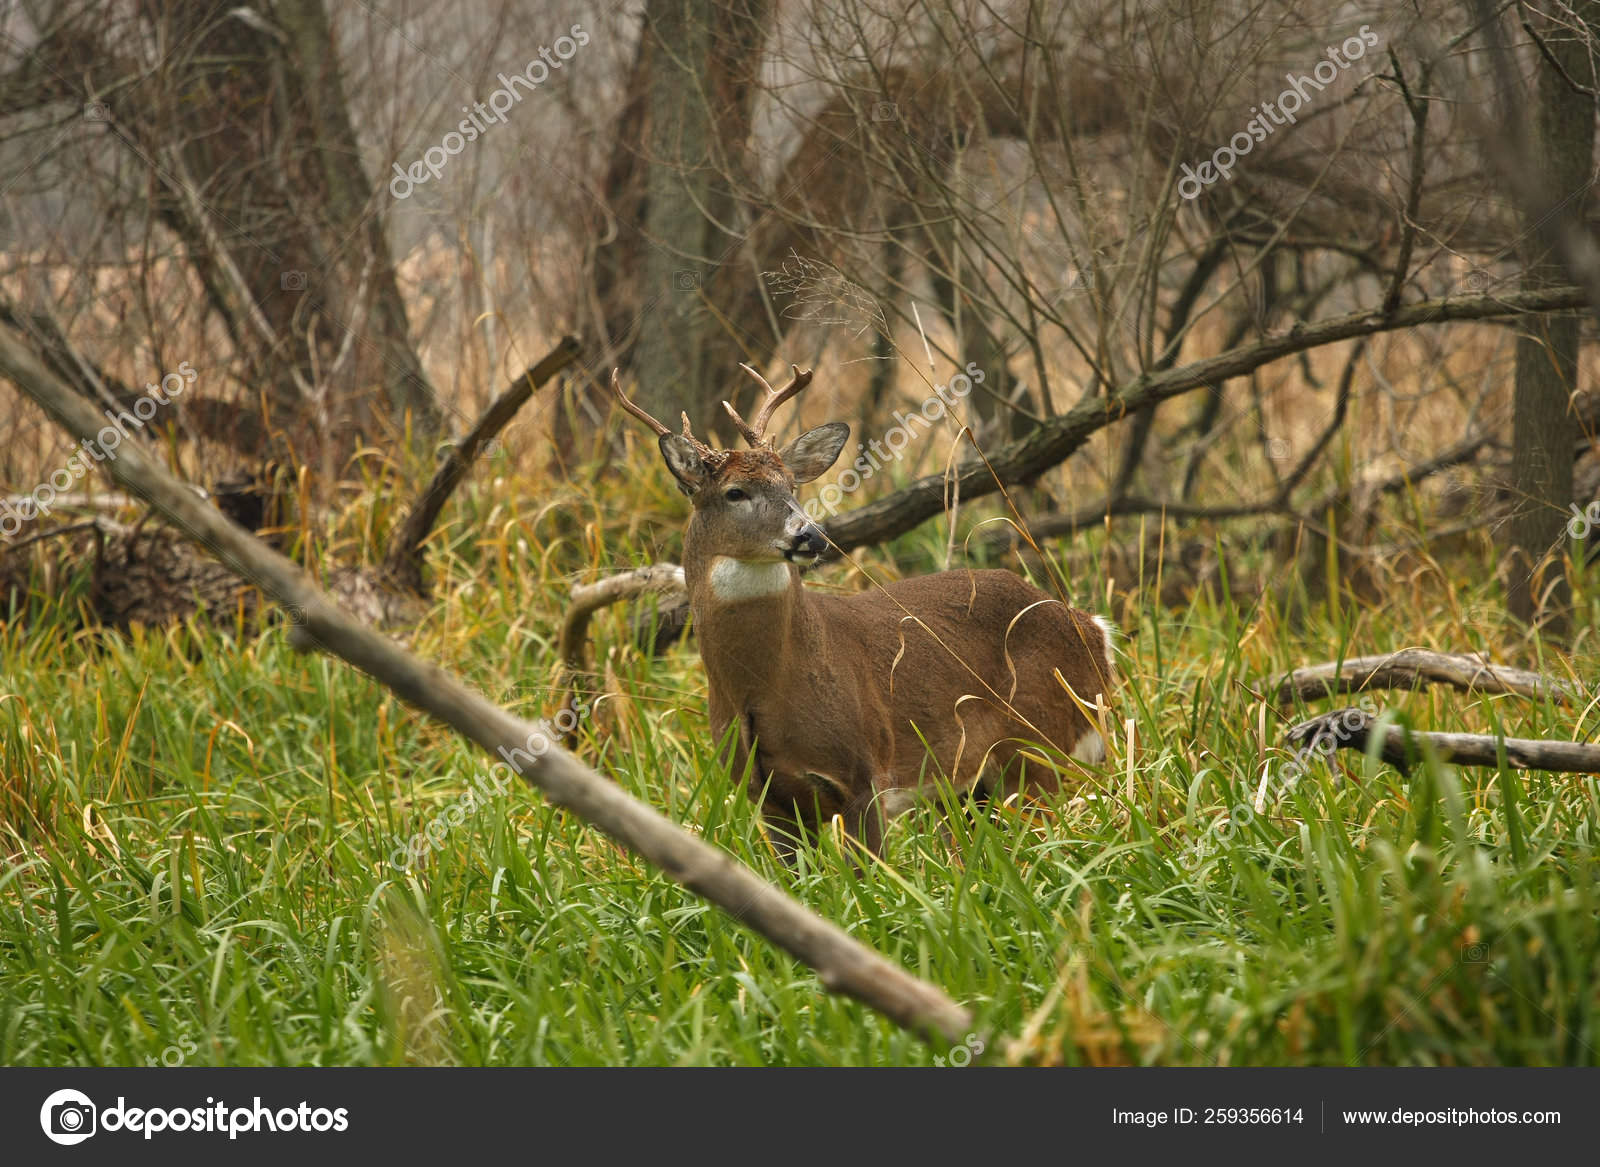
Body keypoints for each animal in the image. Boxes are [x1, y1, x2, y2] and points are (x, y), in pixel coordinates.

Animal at [612, 363, 1116, 861]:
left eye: (792, 486)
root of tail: (1092, 628)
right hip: (973, 786)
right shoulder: (767, 799)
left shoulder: (865, 773)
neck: (763, 689)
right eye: (735, 492)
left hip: (1040, 742)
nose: (810, 535)